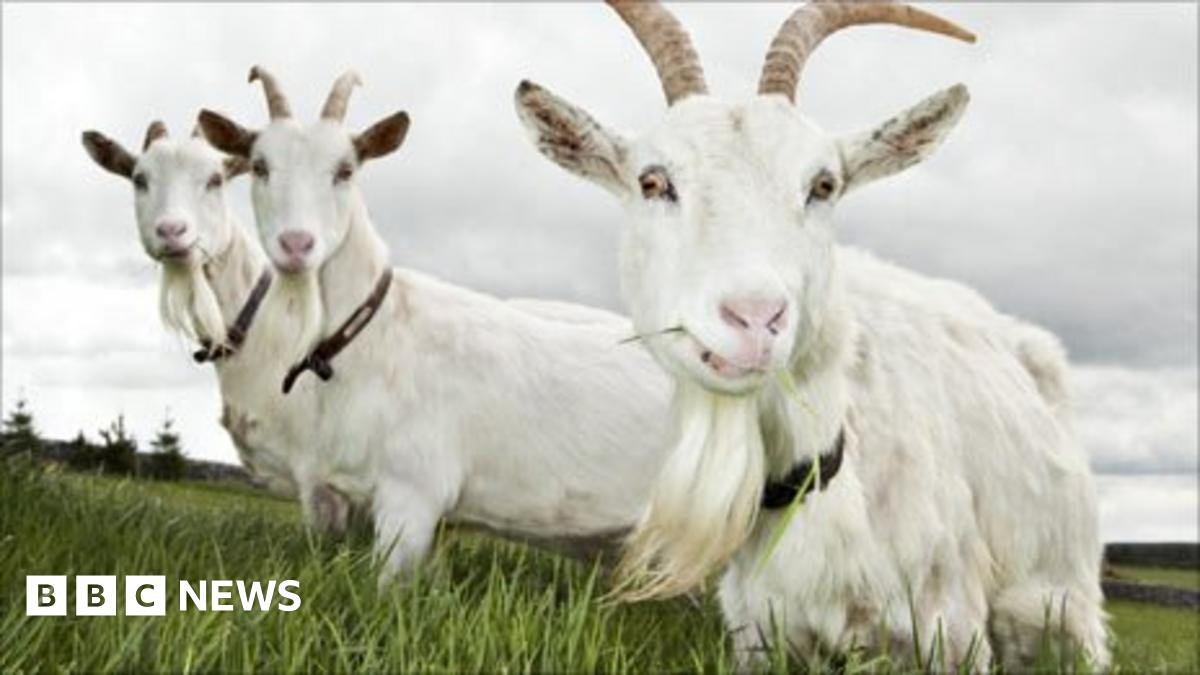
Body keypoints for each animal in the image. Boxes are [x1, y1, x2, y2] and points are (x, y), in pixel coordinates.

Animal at [197, 68, 673, 577]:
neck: (375, 332)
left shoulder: (412, 493)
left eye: (346, 170)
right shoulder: (339, 494)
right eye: (260, 166)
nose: (296, 244)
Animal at [515, 1, 1108, 670]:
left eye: (823, 185)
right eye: (652, 181)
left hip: (1060, 607)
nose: (755, 318)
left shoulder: (948, 631)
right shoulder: (762, 636)